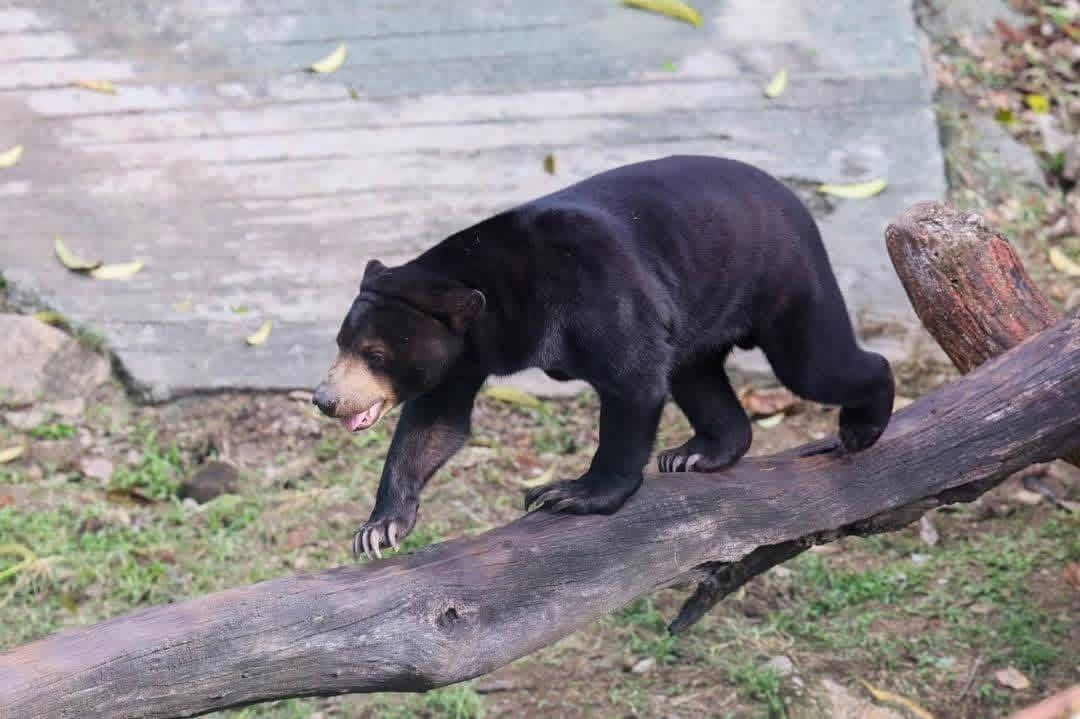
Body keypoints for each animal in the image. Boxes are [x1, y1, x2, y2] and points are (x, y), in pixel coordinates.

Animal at [312, 155, 895, 560]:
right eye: (341, 344)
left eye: (375, 353)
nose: (325, 399)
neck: (499, 298)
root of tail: (793, 199)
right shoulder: (463, 356)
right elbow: (435, 425)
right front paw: (379, 529)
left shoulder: (596, 294)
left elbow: (632, 381)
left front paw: (569, 494)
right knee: (696, 374)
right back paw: (698, 454)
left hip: (783, 276)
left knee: (816, 364)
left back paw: (861, 426)